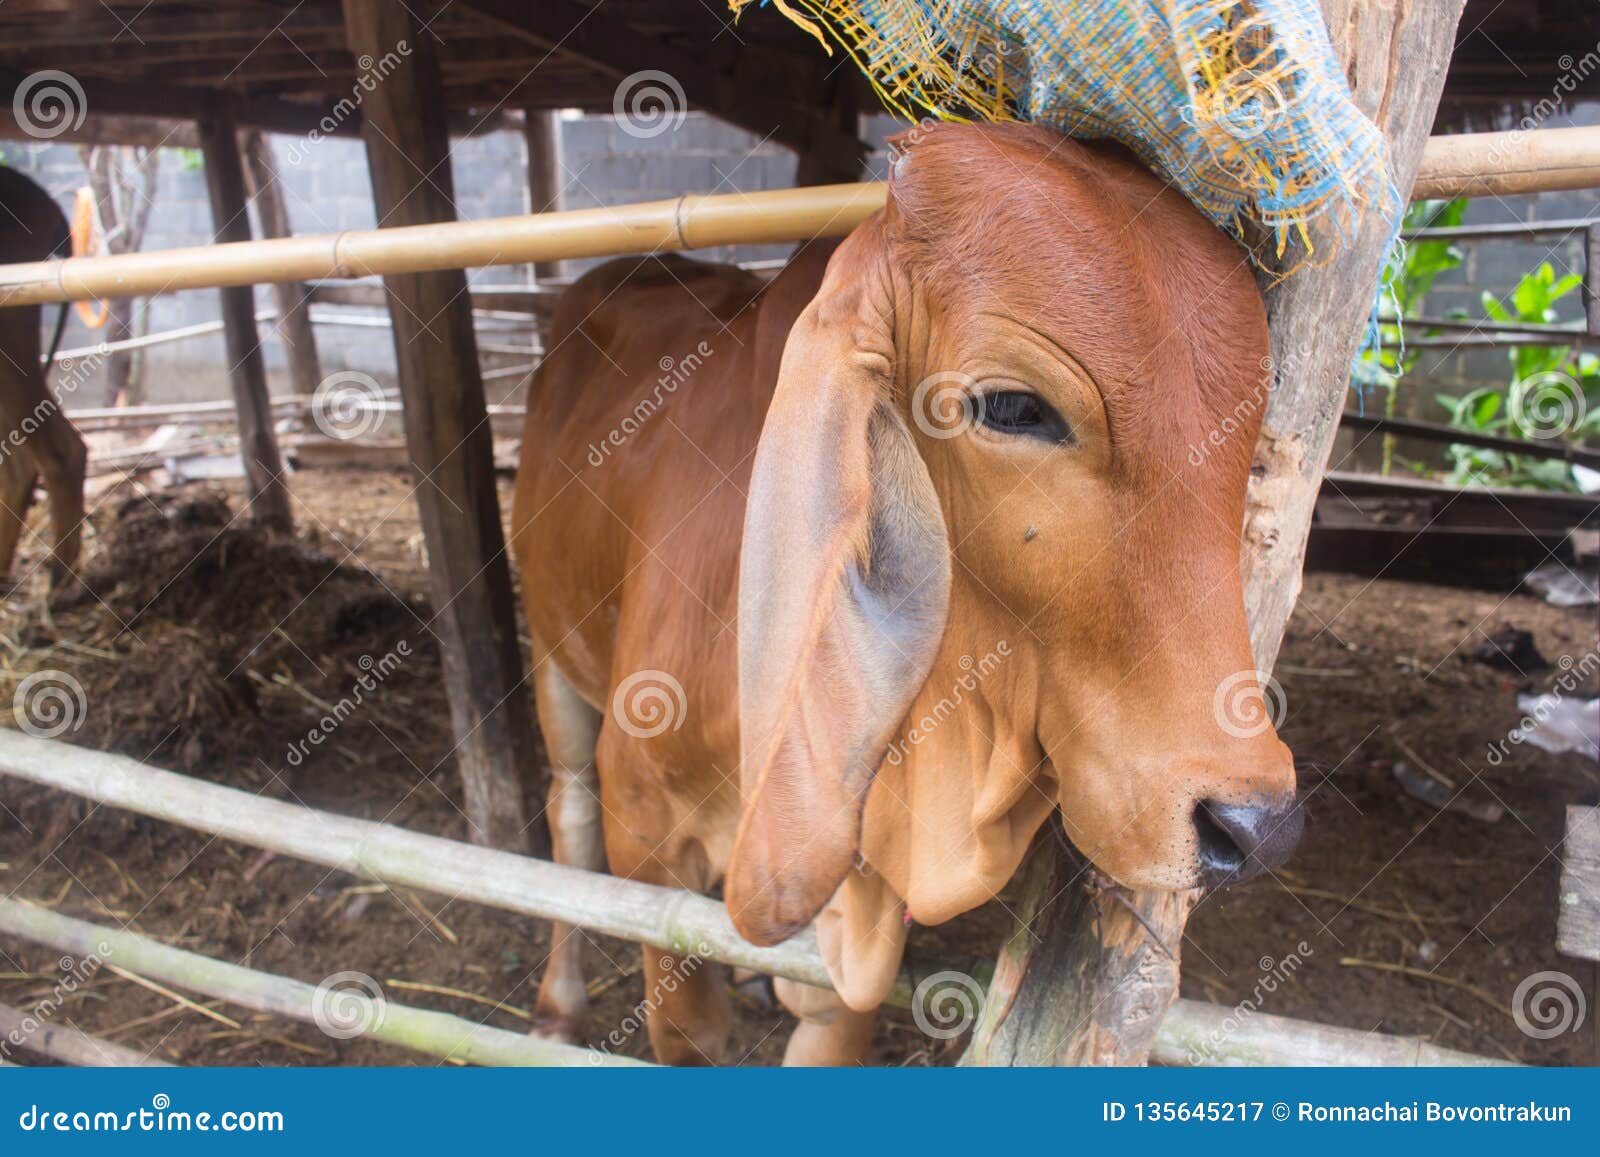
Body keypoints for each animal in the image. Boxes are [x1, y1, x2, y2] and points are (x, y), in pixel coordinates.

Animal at [510, 122, 1303, 1066]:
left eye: (1246, 441)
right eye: (1013, 407)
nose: (1252, 824)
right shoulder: (645, 830)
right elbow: (686, 1017)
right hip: (553, 654)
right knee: (565, 815)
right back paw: (555, 1002)